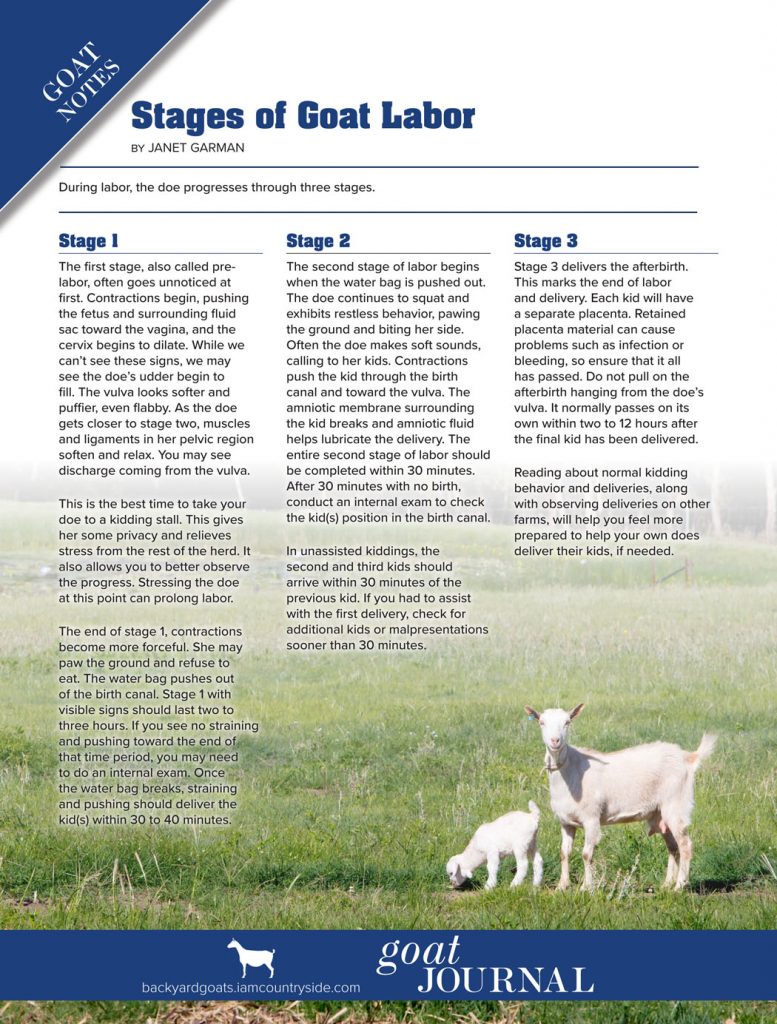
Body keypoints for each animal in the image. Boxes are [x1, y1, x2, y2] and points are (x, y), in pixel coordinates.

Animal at [524, 703, 716, 891]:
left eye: (567, 722)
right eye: (541, 722)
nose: (555, 741)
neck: (570, 771)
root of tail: (688, 757)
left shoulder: (591, 818)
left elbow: (586, 854)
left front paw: (586, 888)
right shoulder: (566, 822)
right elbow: (564, 853)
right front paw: (561, 886)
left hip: (676, 804)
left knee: (685, 845)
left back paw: (679, 886)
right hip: (660, 813)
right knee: (673, 847)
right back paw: (667, 884)